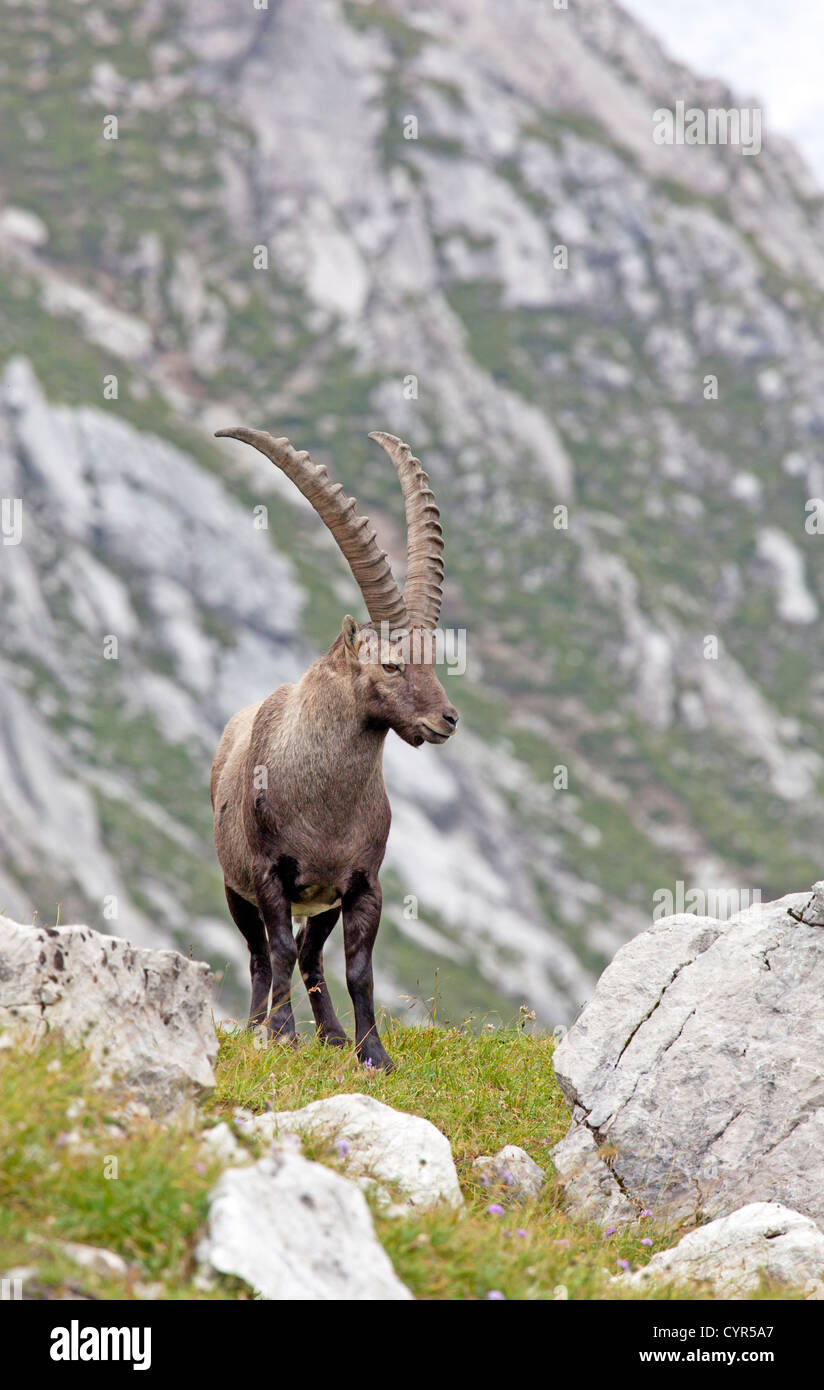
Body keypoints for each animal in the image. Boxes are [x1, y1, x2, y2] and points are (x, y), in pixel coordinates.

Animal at [210, 428, 458, 1070]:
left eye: (435, 660)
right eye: (391, 664)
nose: (446, 720)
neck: (324, 806)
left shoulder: (361, 883)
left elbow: (359, 969)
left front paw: (375, 1055)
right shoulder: (270, 875)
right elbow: (274, 950)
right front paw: (282, 1035)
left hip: (320, 903)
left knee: (310, 953)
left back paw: (333, 1035)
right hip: (236, 887)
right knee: (262, 955)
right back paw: (260, 1025)